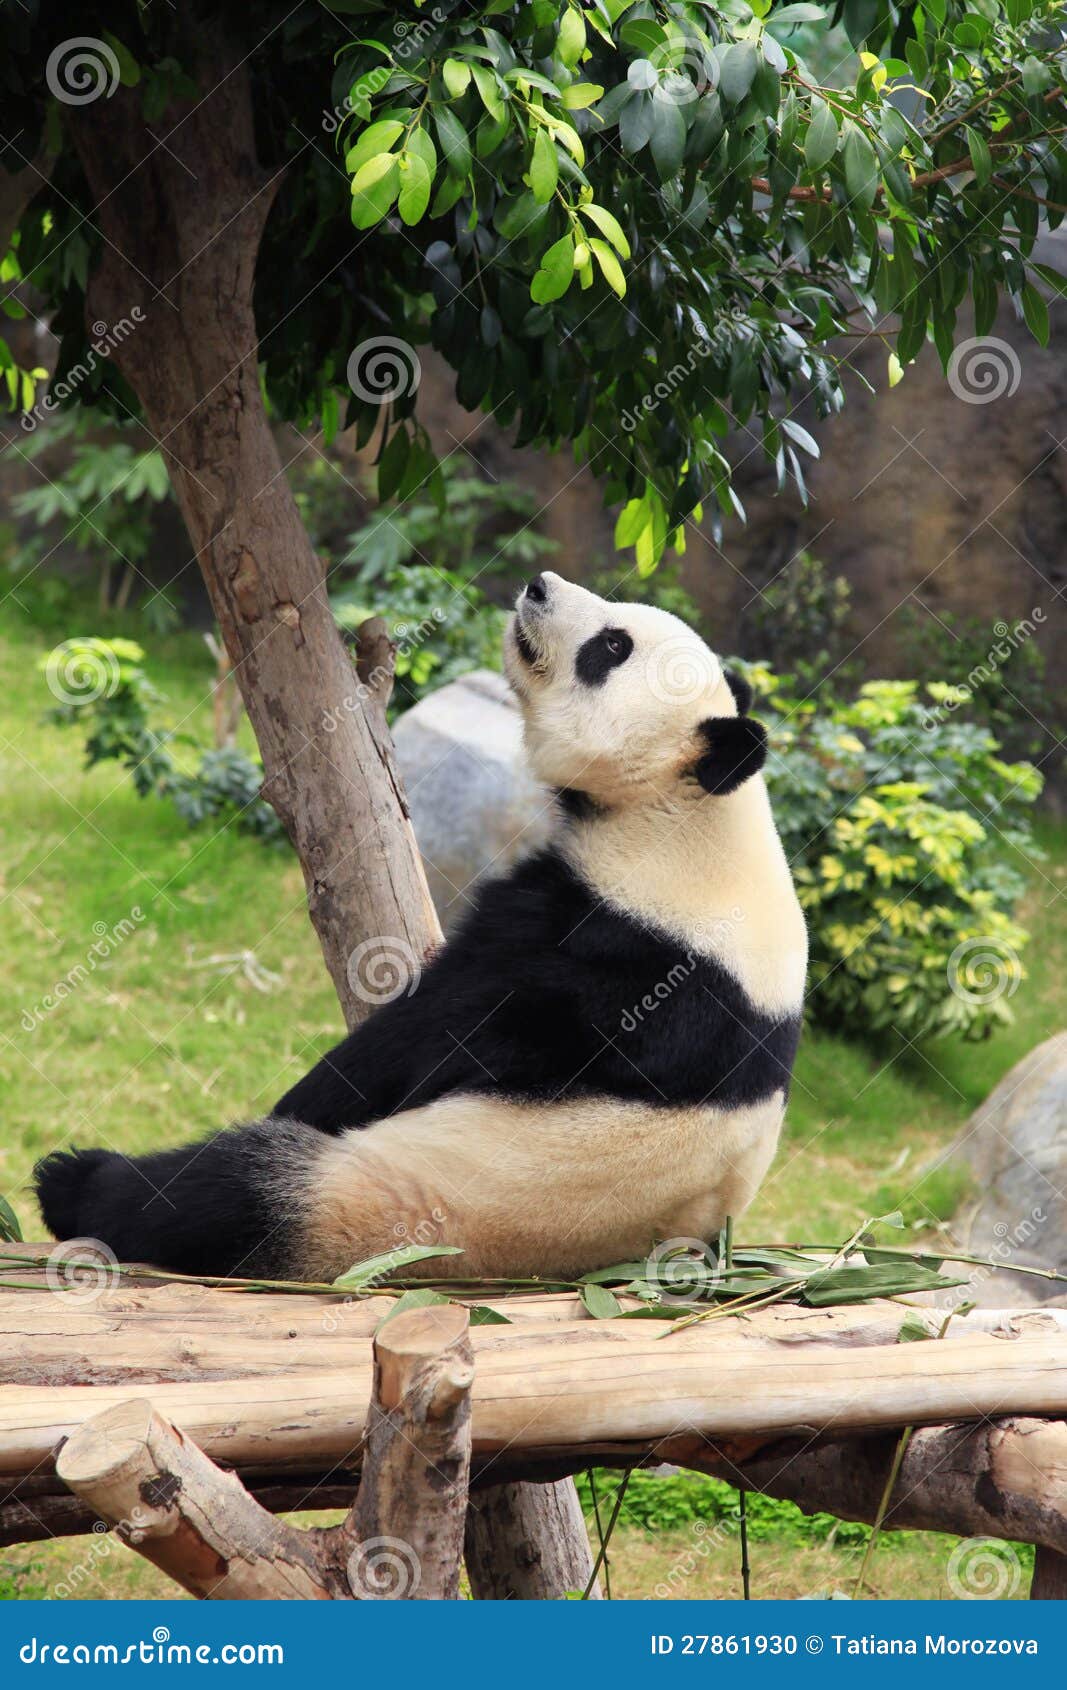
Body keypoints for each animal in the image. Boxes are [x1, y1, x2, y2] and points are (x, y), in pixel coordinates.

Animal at [35, 572, 807, 1284]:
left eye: (611, 648)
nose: (538, 586)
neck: (686, 819)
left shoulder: (611, 947)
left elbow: (429, 1034)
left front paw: (306, 1096)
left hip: (384, 1194)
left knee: (230, 1192)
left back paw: (74, 1179)